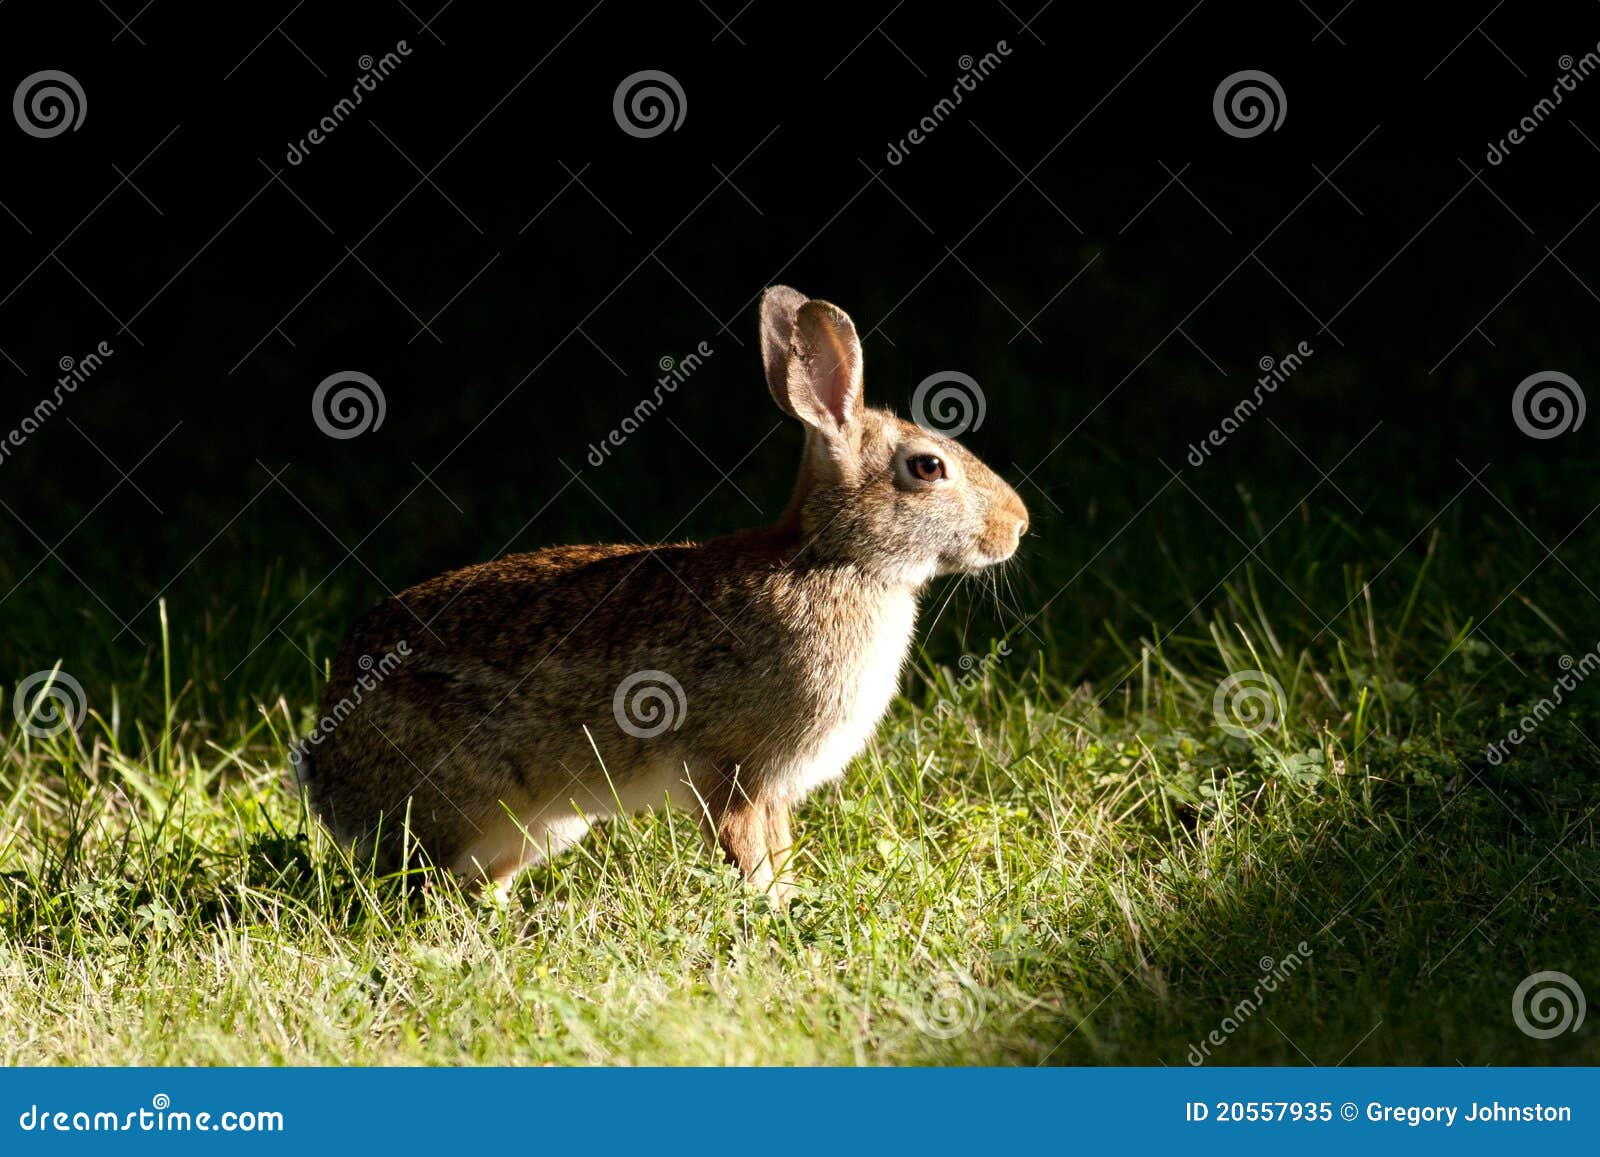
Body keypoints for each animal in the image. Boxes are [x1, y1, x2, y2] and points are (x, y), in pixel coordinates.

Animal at [292, 286, 1029, 904]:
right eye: (927, 468)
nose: (1017, 525)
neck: (836, 560)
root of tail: (325, 769)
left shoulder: (770, 785)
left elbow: (778, 843)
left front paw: (789, 896)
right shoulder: (732, 767)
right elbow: (746, 844)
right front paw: (771, 905)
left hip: (542, 826)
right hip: (470, 804)